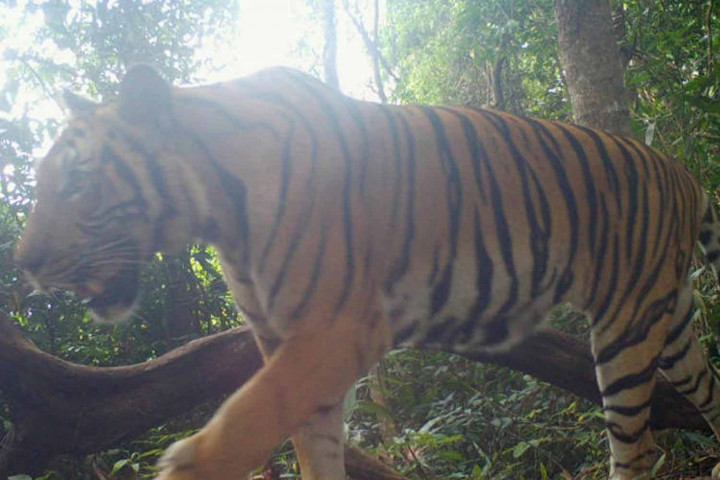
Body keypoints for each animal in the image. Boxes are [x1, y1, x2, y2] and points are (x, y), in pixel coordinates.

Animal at [13, 63, 720, 480]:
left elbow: (247, 414)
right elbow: (310, 445)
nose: (25, 265)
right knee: (711, 391)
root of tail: (683, 173)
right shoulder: (285, 342)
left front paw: (188, 467)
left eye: (77, 184)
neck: (220, 217)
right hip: (670, 321)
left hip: (626, 328)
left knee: (637, 447)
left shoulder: (336, 328)